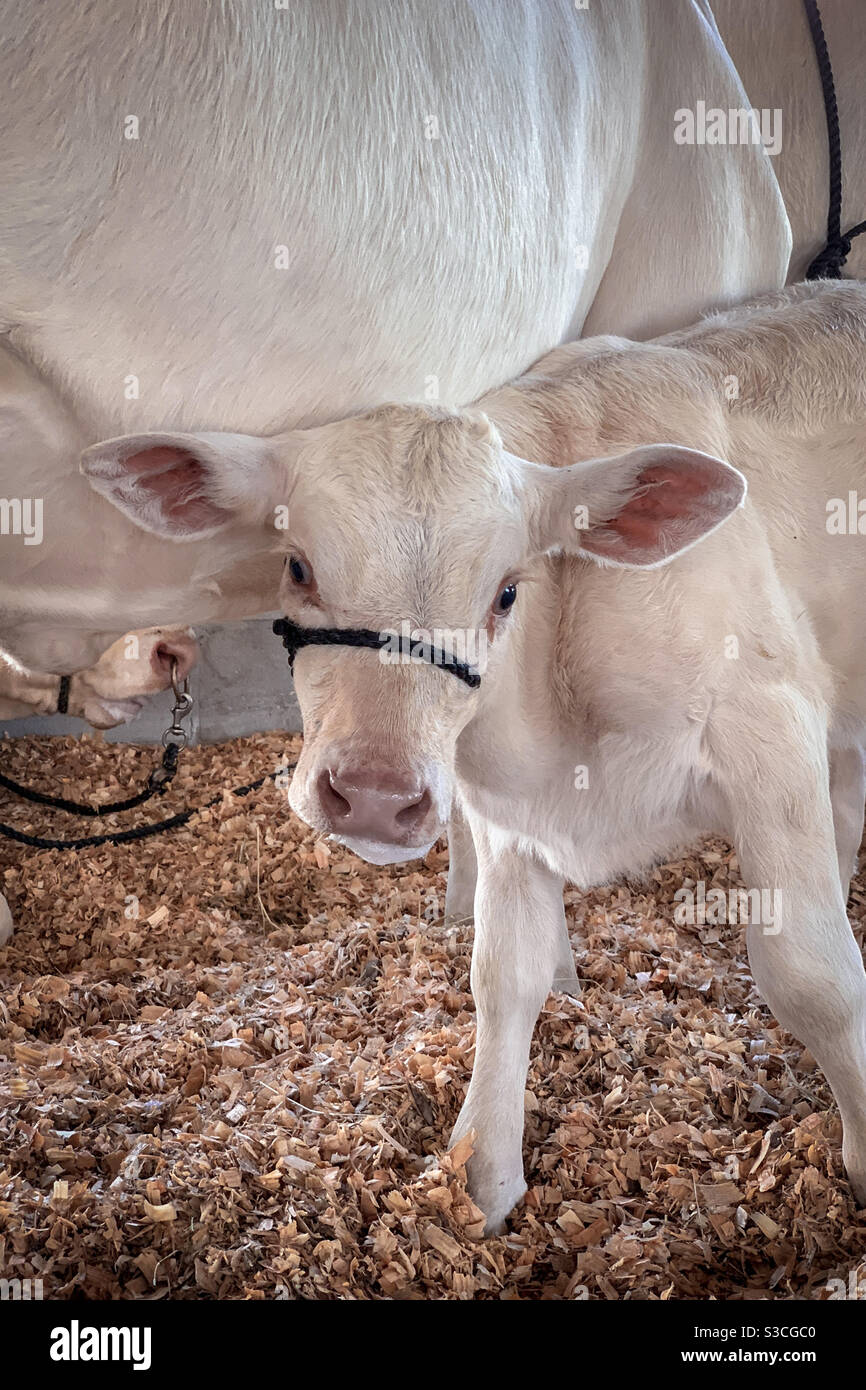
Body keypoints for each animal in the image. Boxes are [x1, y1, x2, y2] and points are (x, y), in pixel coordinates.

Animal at [78, 278, 866, 1230]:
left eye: (506, 593)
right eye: (297, 567)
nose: (376, 796)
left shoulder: (769, 732)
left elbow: (815, 977)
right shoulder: (506, 813)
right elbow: (503, 974)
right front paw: (483, 1176)